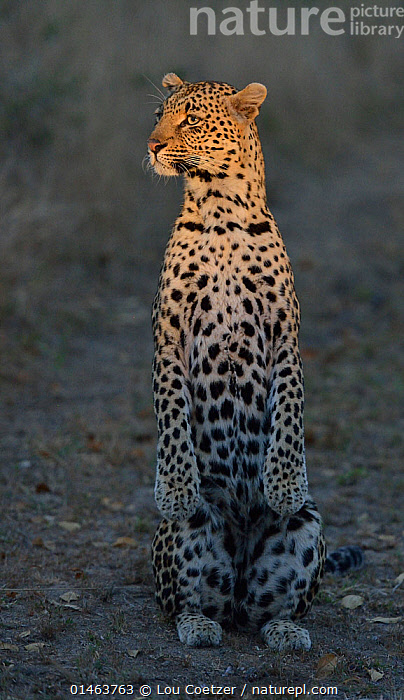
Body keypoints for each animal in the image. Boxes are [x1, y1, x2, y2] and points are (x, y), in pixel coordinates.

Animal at [147, 73, 363, 651]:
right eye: (160, 115)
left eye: (191, 119)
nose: (152, 145)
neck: (221, 214)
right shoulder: (168, 338)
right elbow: (171, 415)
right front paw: (175, 487)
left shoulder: (286, 336)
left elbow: (289, 410)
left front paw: (283, 483)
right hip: (185, 538)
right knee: (186, 604)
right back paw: (198, 625)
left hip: (308, 529)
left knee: (268, 609)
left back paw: (286, 630)